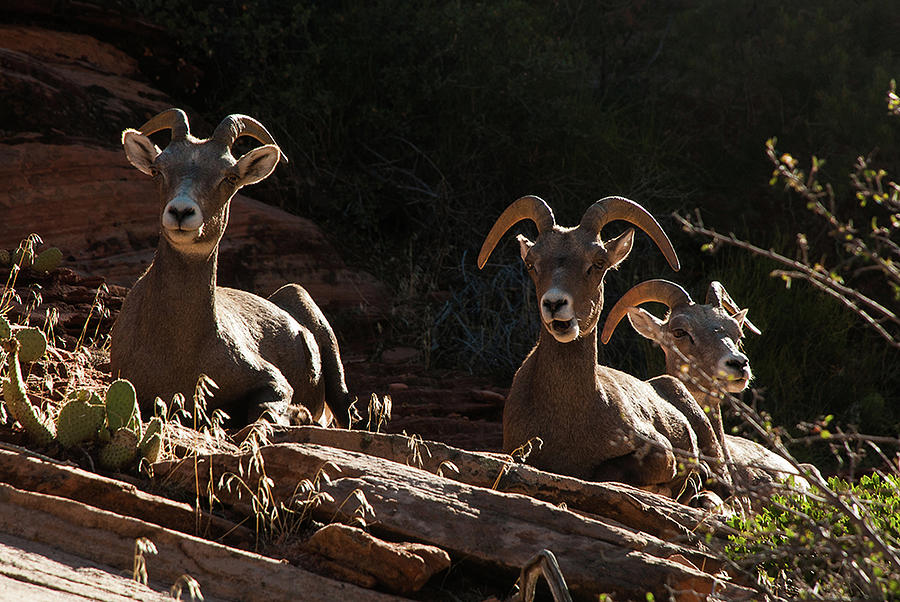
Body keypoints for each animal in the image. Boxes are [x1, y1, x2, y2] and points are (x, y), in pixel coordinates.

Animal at [110, 108, 357, 428]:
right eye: (157, 170)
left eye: (229, 177)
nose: (181, 212)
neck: (182, 352)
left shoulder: (273, 381)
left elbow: (263, 410)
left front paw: (296, 413)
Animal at [477, 195, 724, 496]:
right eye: (532, 264)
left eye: (598, 262)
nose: (554, 304)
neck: (568, 419)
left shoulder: (659, 452)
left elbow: (606, 471)